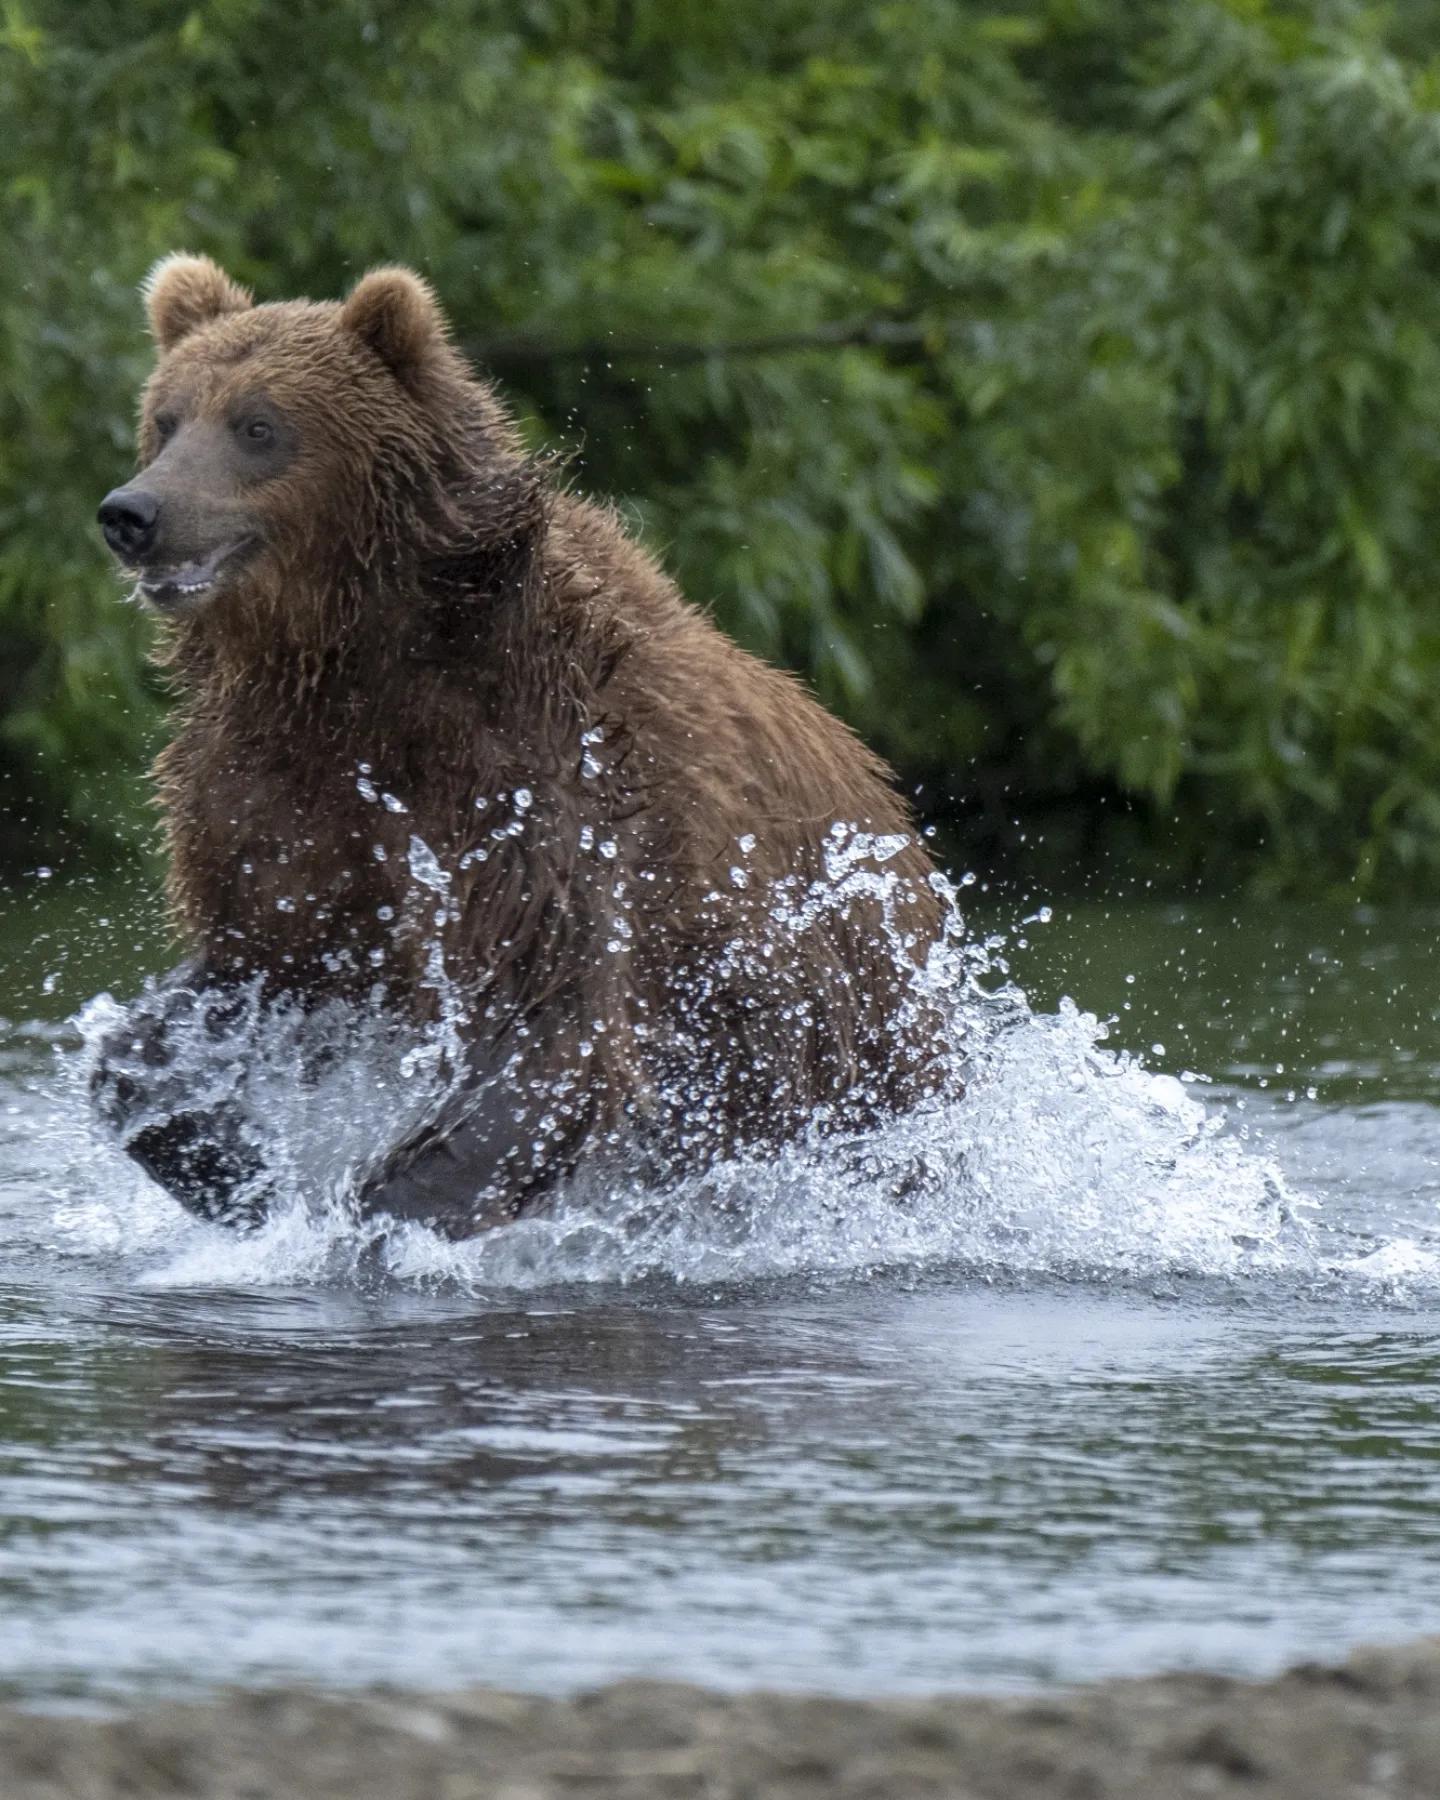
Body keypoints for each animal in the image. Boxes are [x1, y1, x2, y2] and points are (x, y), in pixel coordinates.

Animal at [90, 257, 950, 1238]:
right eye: (166, 418)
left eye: (259, 425)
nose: (135, 512)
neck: (362, 655)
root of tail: (898, 821)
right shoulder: (284, 799)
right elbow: (246, 965)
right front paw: (240, 1171)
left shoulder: (550, 786)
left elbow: (560, 1021)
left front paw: (380, 1210)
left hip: (855, 1018)